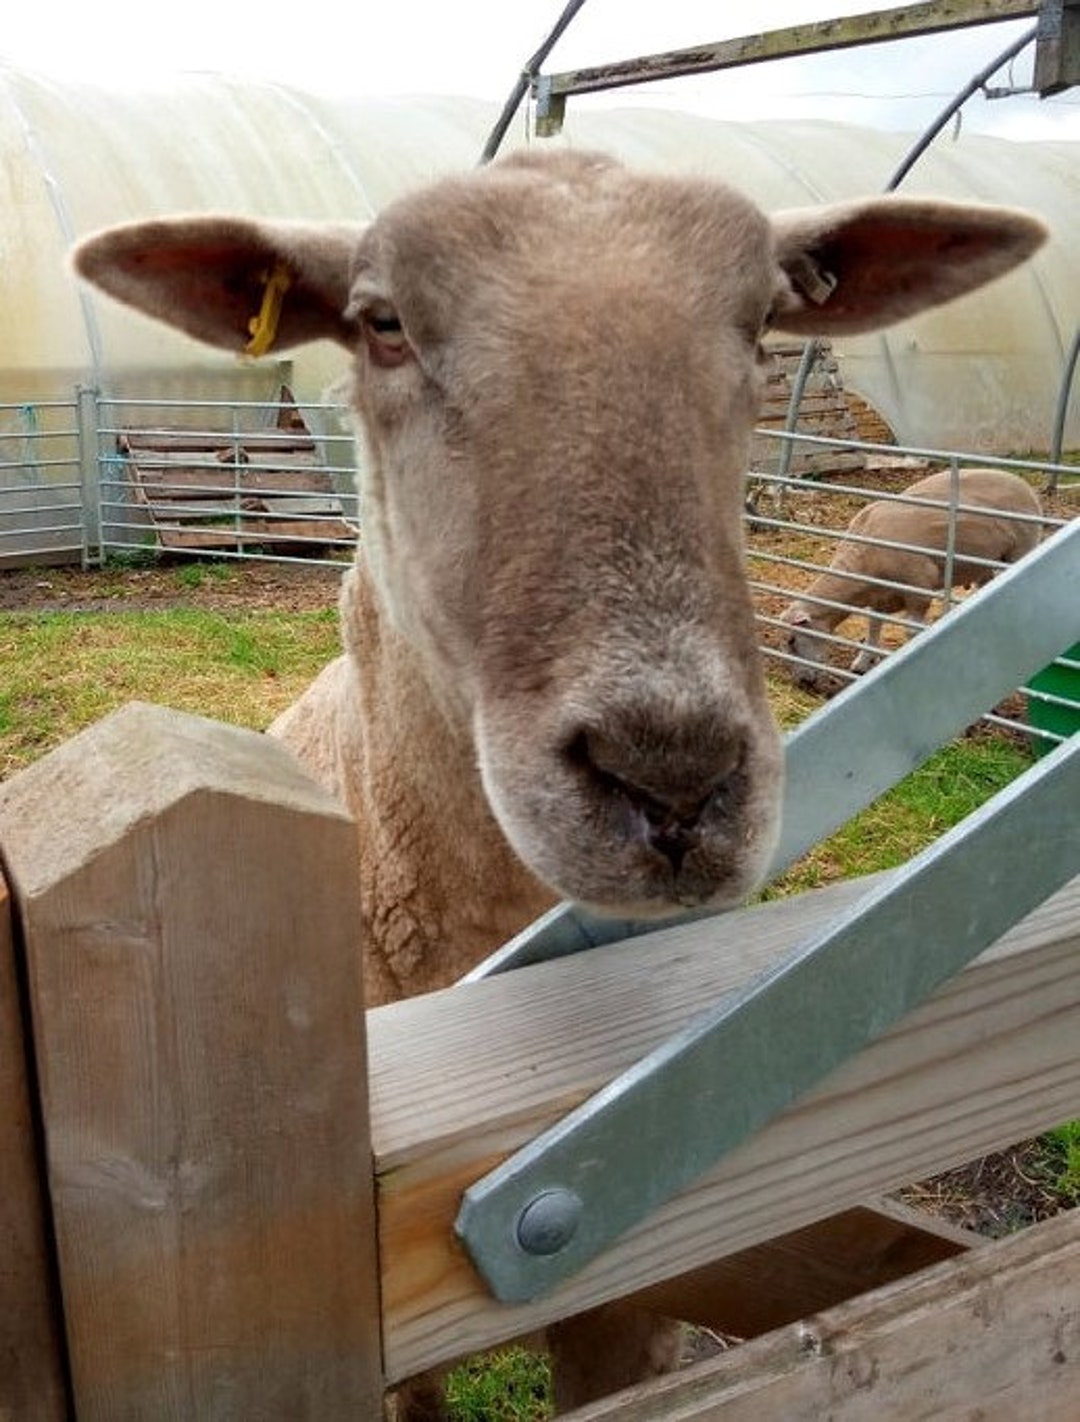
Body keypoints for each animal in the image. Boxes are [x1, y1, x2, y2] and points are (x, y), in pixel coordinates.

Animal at [780, 467, 1043, 691]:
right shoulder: (879, 596)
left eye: (792, 640)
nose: (801, 682)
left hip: (1021, 549)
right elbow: (873, 627)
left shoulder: (918, 587)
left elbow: (911, 632)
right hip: (983, 563)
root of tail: (1024, 485)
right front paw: (863, 662)